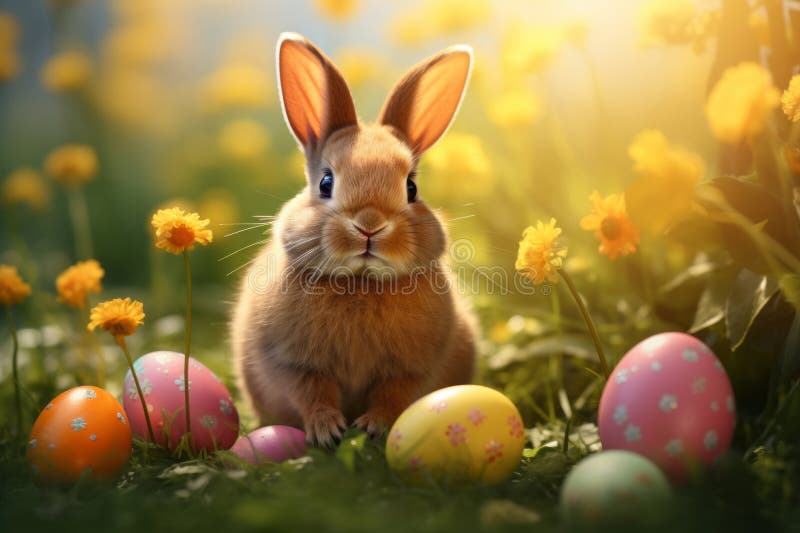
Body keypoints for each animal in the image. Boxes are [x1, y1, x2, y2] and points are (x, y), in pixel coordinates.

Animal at [231, 32, 478, 448]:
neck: (360, 282)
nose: (369, 225)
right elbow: (313, 393)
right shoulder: (294, 363)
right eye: (326, 183)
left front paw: (373, 426)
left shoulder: (411, 368)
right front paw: (327, 430)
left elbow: (393, 395)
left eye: (411, 188)